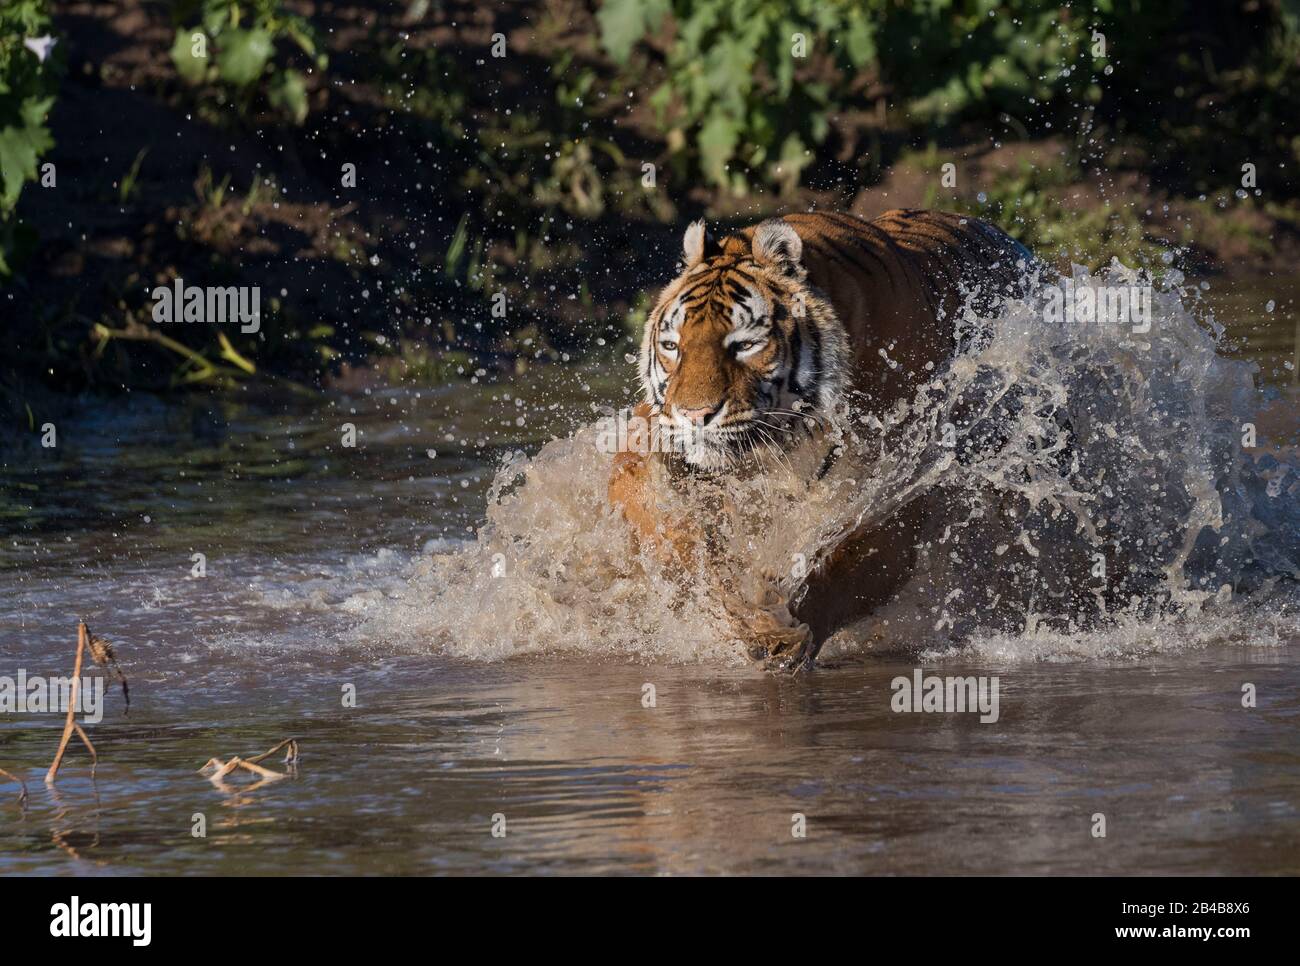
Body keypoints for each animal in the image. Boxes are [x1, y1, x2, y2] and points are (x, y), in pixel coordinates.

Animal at [608, 208, 1036, 669]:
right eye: (672, 346)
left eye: (745, 345)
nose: (693, 416)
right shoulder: (642, 448)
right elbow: (661, 521)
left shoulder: (895, 491)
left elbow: (841, 569)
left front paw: (777, 634)